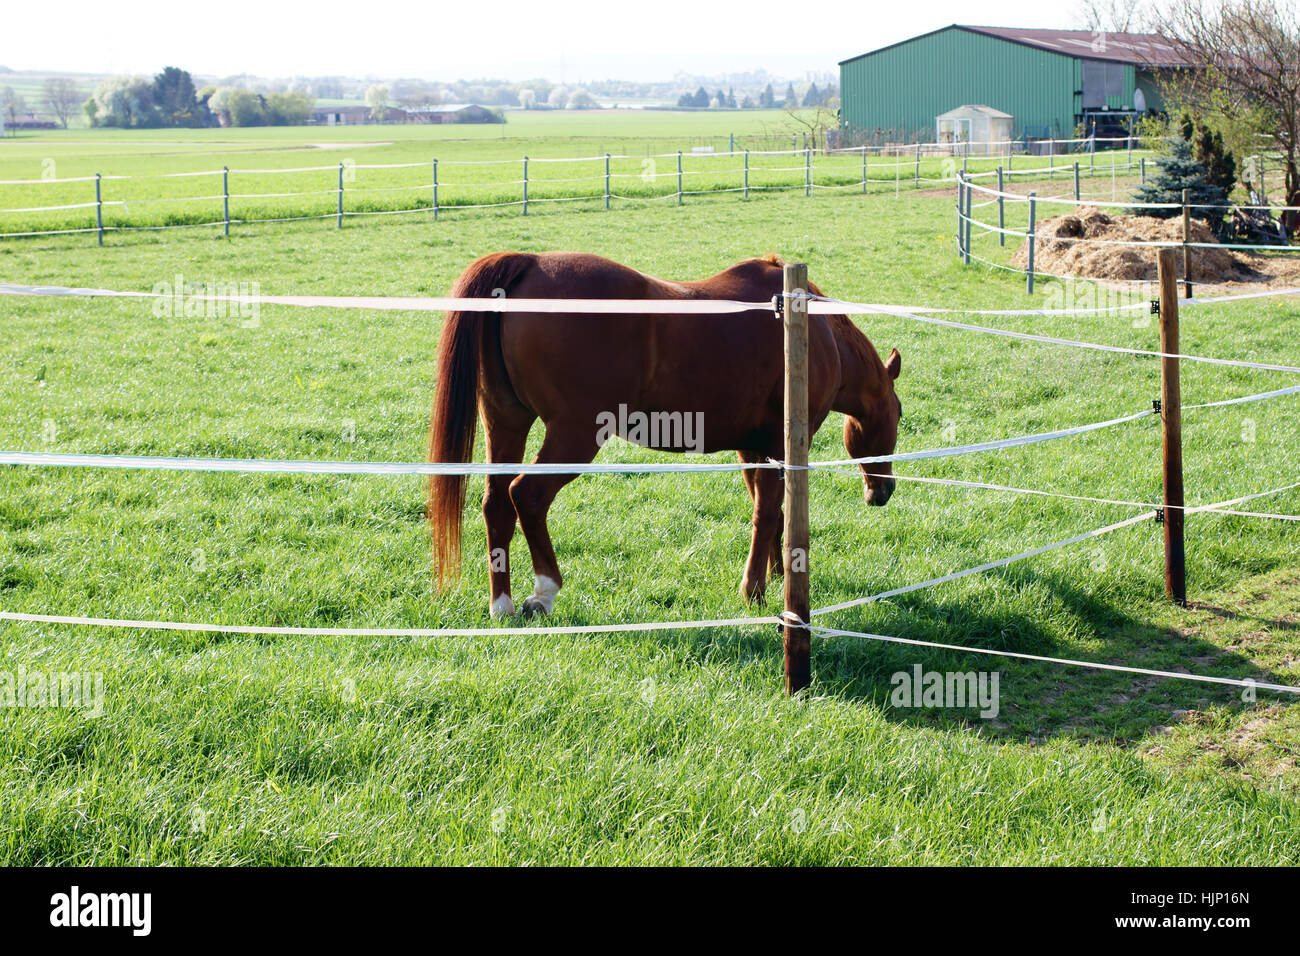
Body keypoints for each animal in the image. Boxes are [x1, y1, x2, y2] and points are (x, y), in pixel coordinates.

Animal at [427, 252, 902, 618]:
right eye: (898, 414)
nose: (883, 491)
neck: (814, 333)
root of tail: (529, 263)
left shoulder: (752, 448)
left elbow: (772, 512)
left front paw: (777, 574)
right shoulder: (775, 447)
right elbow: (768, 513)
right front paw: (755, 591)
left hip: (507, 423)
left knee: (496, 503)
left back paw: (502, 604)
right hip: (575, 434)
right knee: (527, 495)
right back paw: (544, 592)